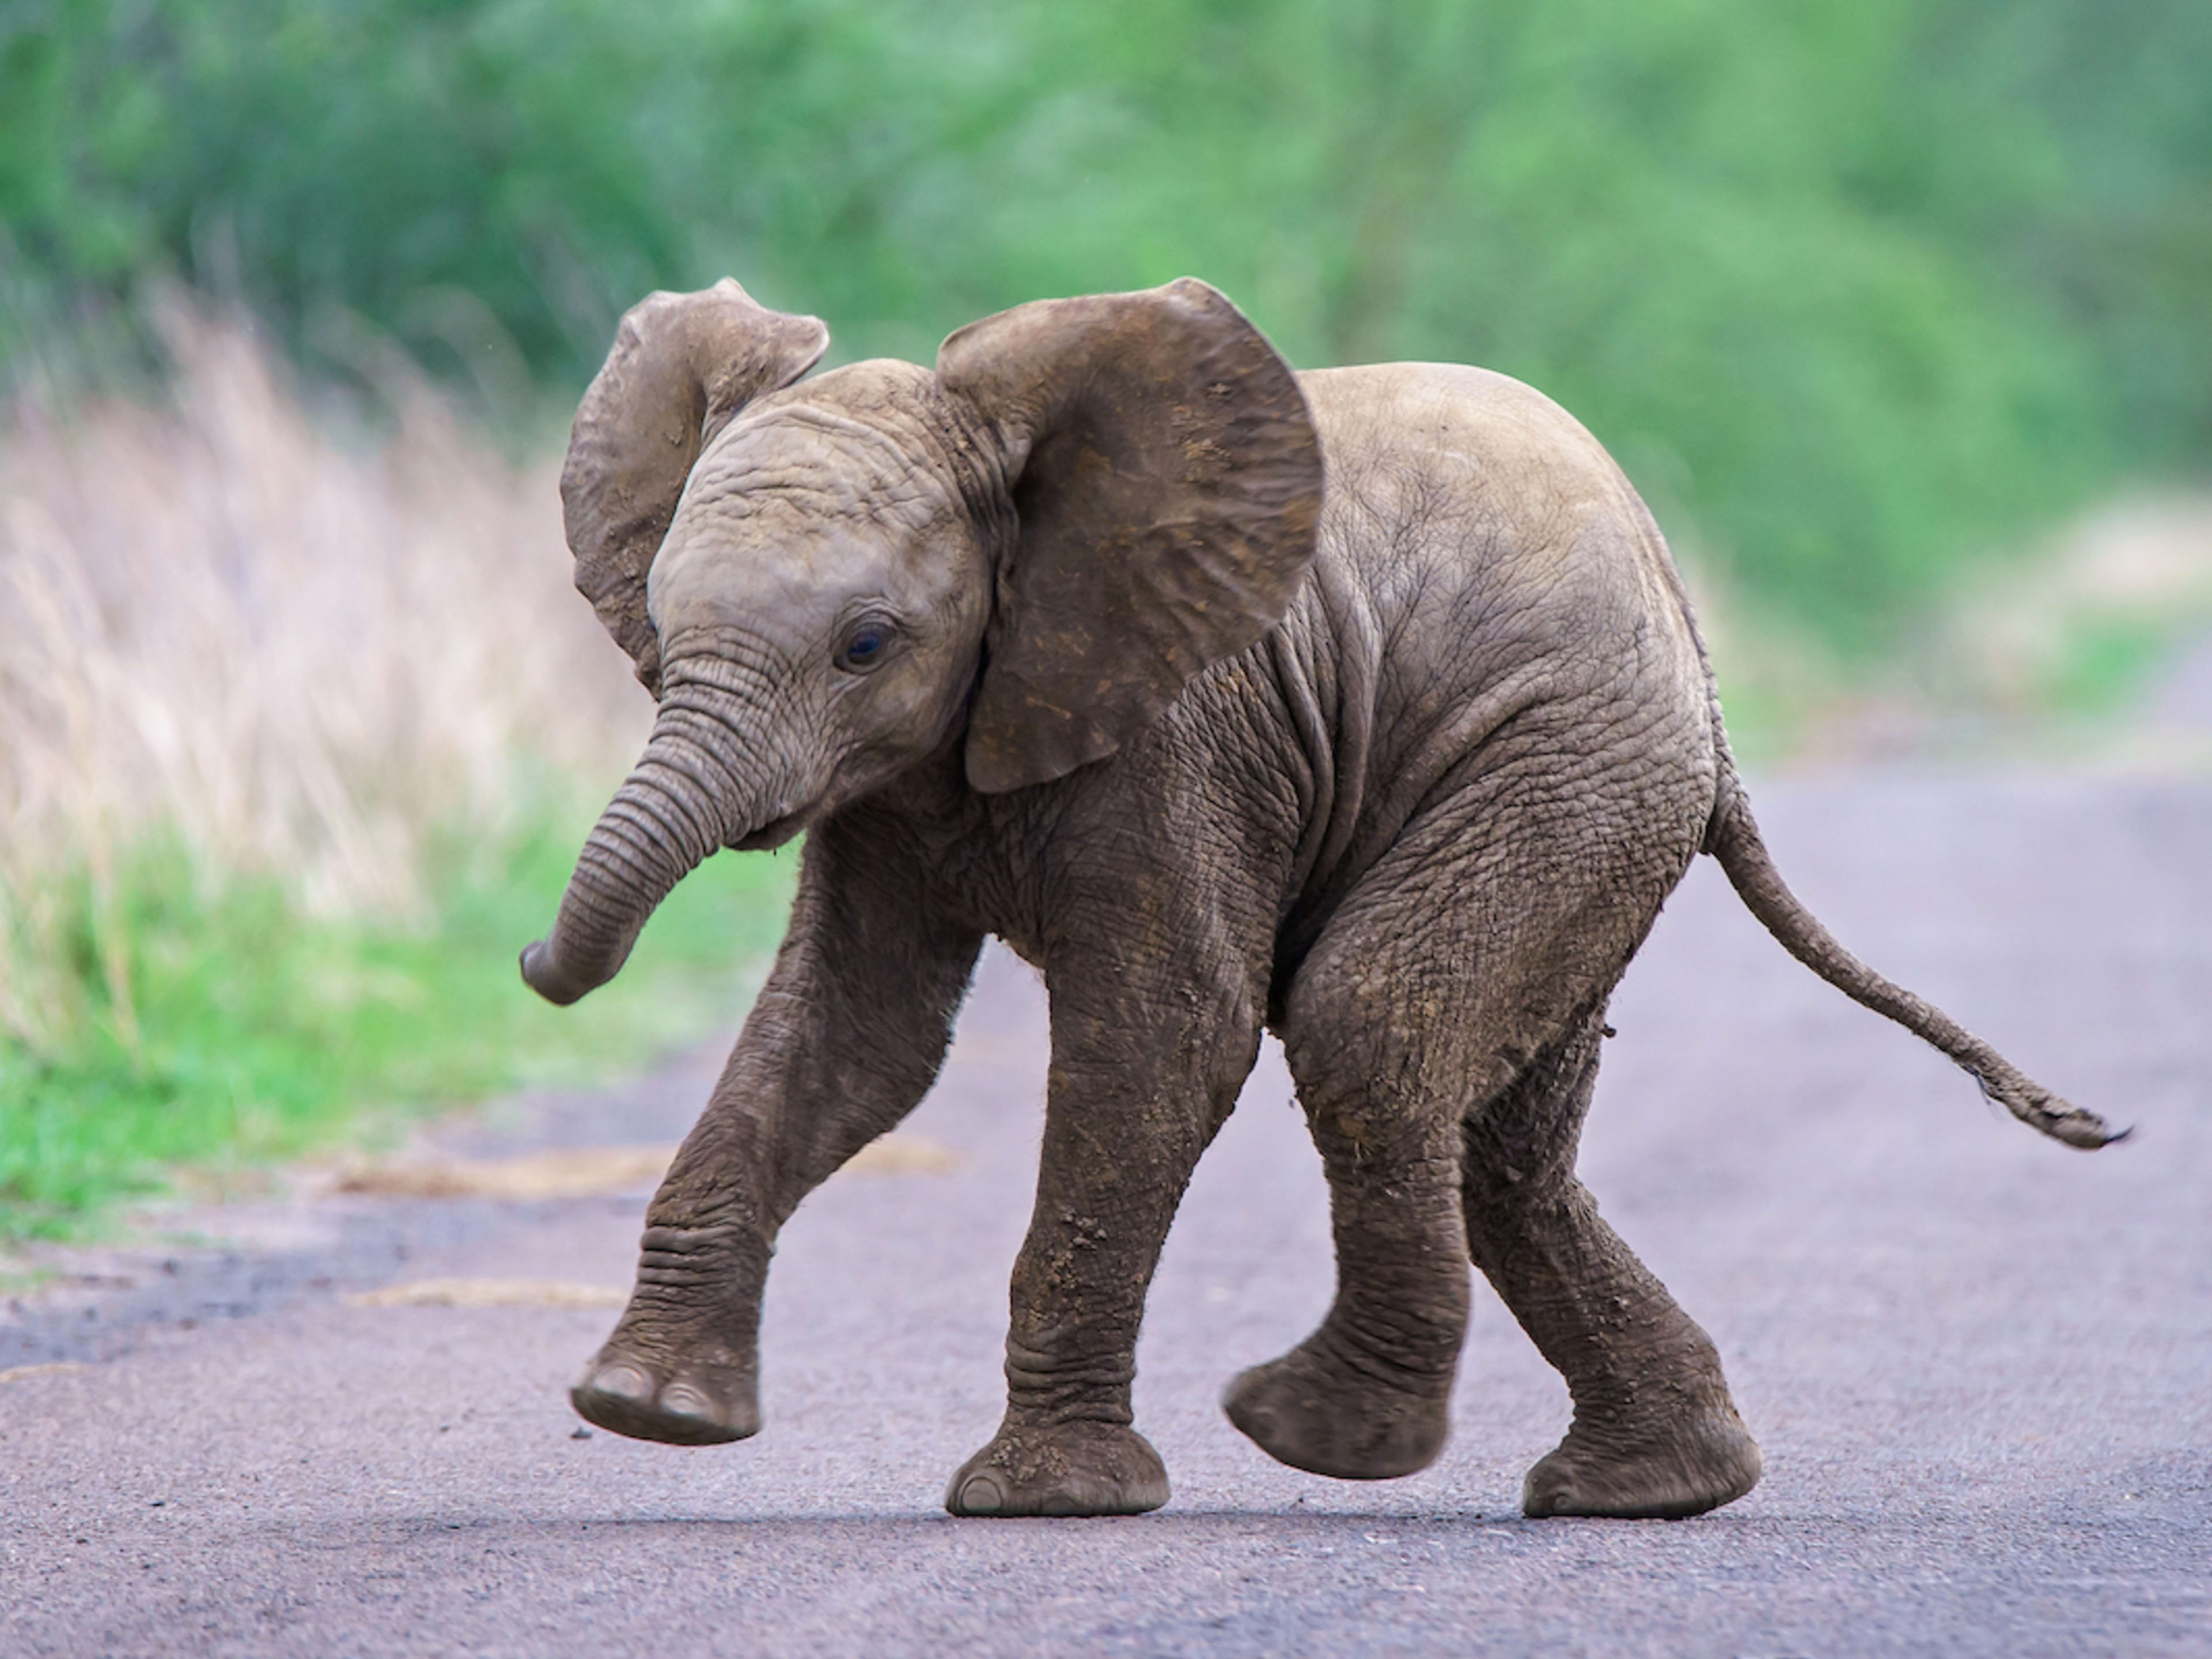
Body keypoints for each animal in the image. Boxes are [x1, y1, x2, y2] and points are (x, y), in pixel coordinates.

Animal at [521, 276, 2116, 1521]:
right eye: (656, 621)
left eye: (865, 643)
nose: (534, 962)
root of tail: (1702, 673)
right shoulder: (902, 780)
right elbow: (854, 1041)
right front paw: (649, 1410)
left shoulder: (1185, 726)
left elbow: (1168, 1034)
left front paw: (1043, 1502)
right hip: (1596, 808)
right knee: (1498, 1150)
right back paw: (1649, 1488)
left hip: (1564, 772)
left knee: (1370, 1028)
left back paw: (1316, 1437)